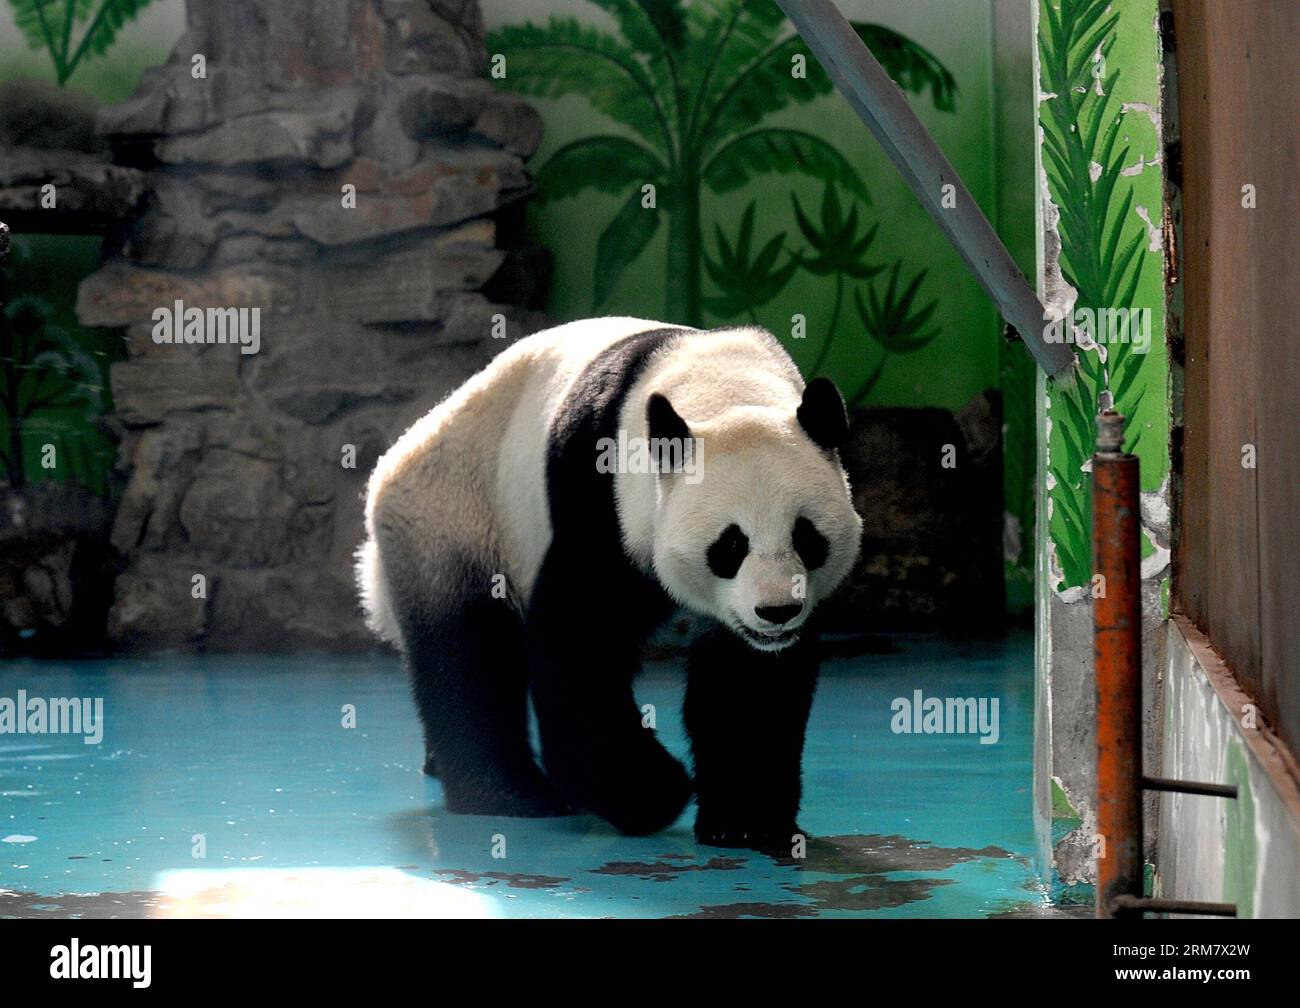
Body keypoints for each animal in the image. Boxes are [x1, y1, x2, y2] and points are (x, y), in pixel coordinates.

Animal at [357, 317, 862, 849]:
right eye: (730, 546)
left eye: (807, 537)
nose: (777, 612)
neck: (721, 386)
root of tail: (397, 459)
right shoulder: (598, 492)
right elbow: (576, 639)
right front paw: (654, 791)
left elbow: (750, 684)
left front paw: (746, 821)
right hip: (458, 517)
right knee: (467, 657)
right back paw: (512, 796)